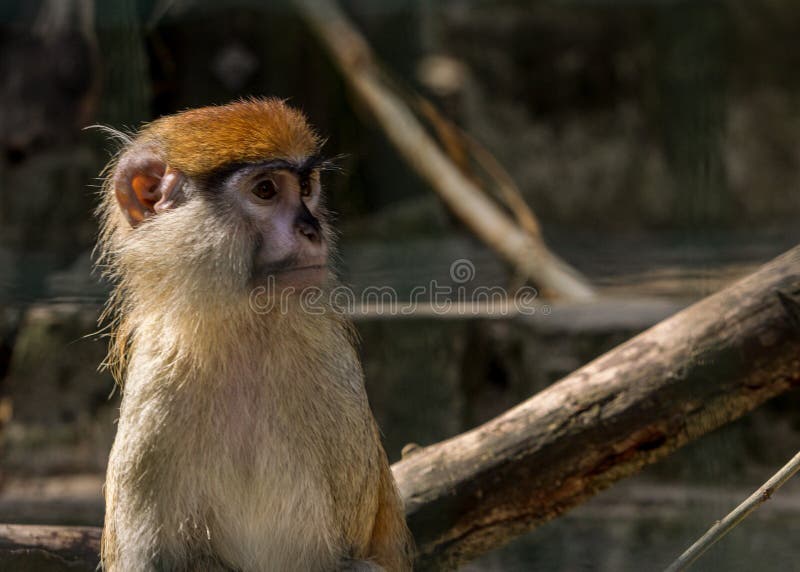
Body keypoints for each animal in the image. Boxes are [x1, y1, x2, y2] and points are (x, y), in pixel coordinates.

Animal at [96, 98, 413, 572]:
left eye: (307, 187)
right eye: (265, 190)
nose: (313, 230)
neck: (244, 330)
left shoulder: (333, 371)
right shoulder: (156, 380)